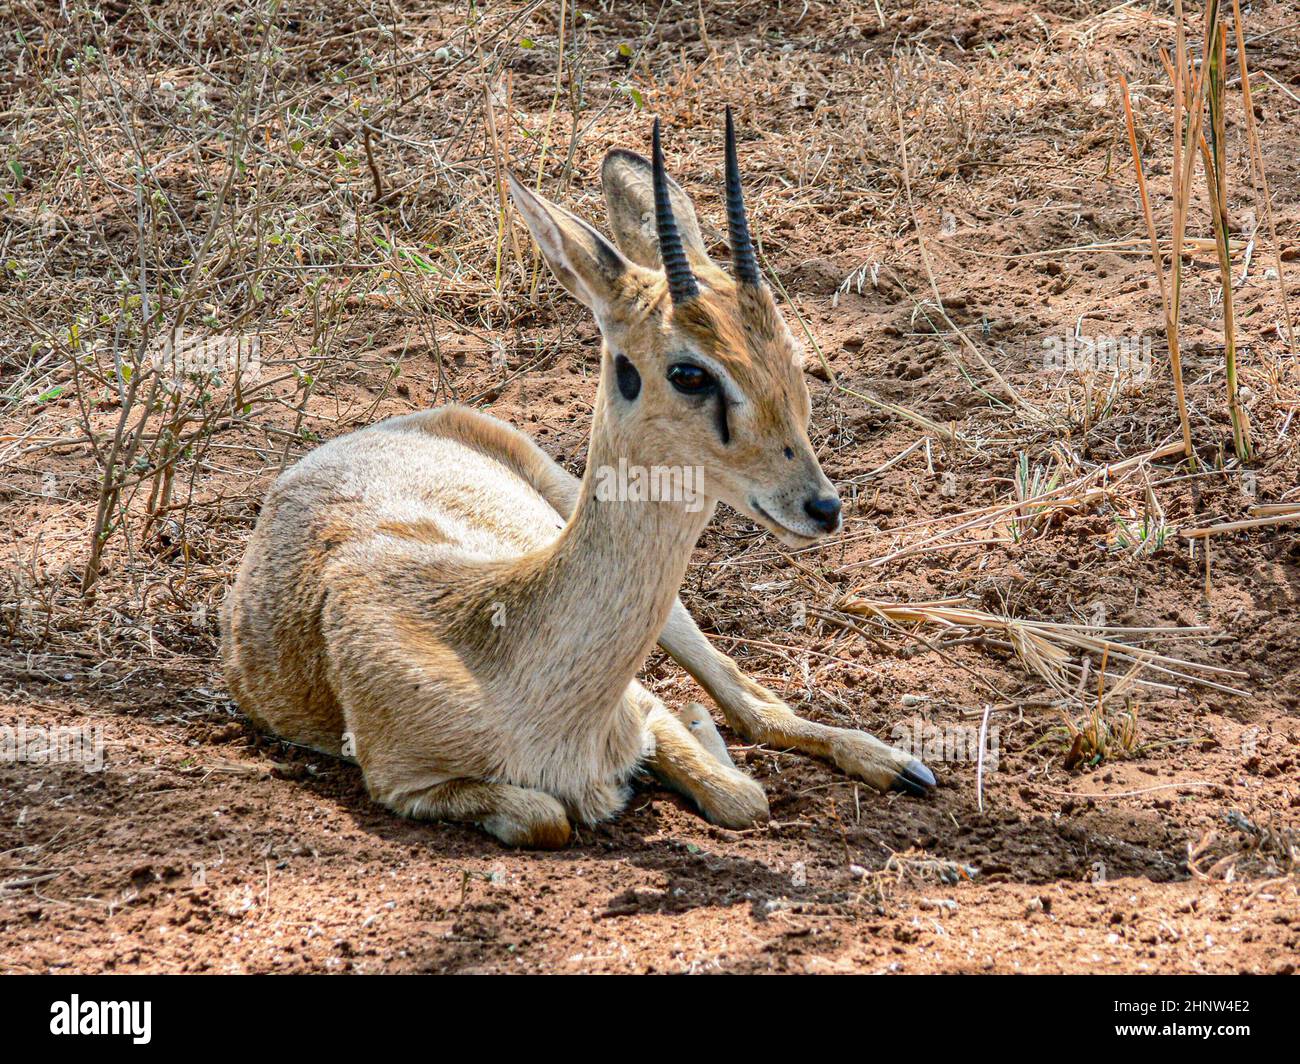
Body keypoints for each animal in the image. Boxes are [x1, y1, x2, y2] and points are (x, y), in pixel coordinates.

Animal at [220, 112, 935, 848]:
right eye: (690, 372)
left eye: (788, 351)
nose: (821, 505)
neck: (495, 657)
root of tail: (351, 440)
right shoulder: (403, 784)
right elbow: (551, 817)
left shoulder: (643, 705)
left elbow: (739, 793)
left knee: (753, 701)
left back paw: (904, 765)